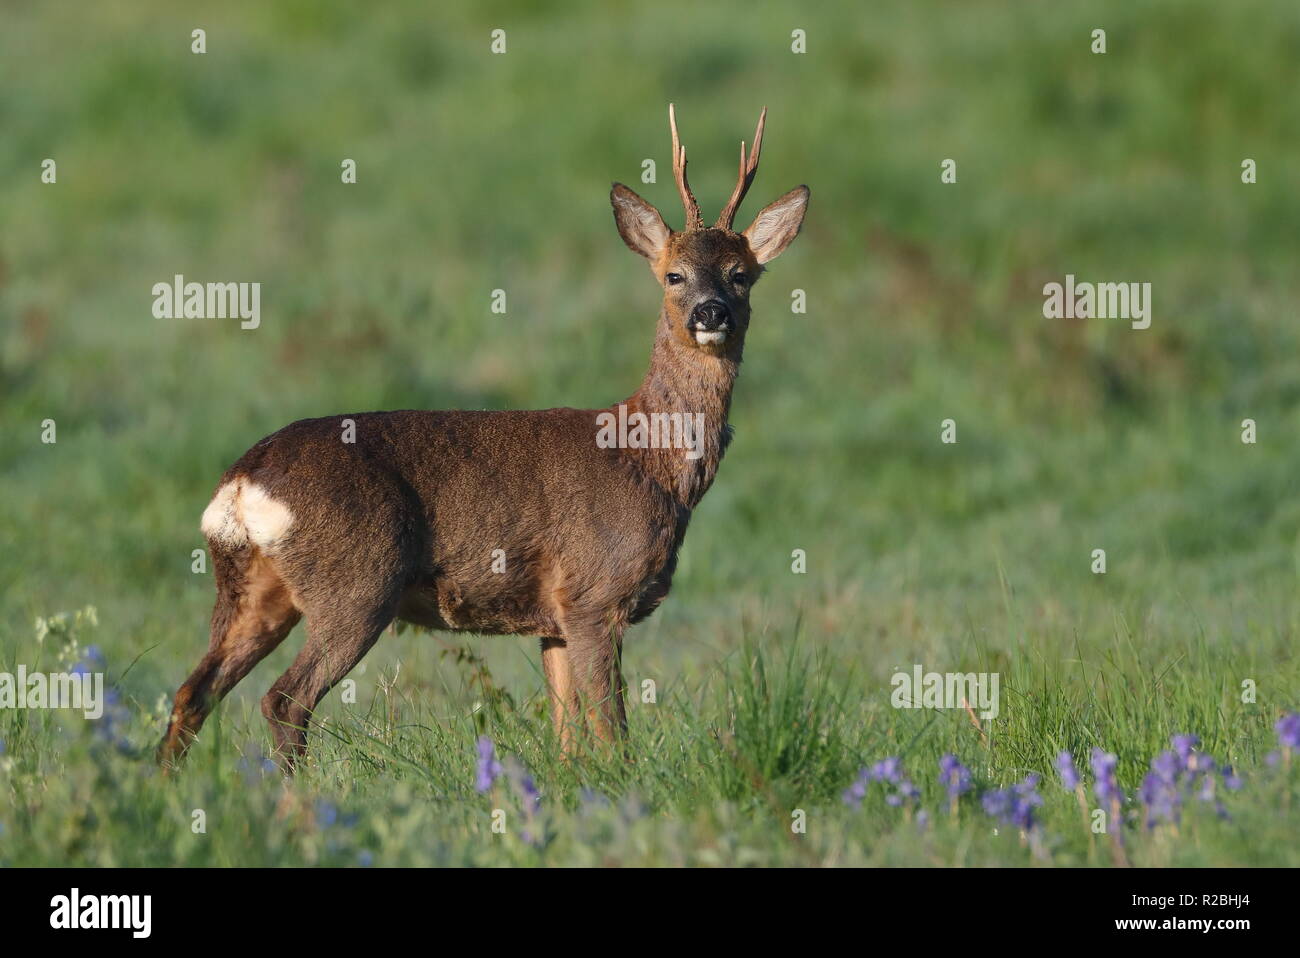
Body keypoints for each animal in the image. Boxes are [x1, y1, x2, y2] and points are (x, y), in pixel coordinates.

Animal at [157, 105, 809, 771]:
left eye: (741, 275)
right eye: (674, 275)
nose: (711, 312)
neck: (649, 458)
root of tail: (242, 480)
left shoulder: (553, 618)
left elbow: (568, 740)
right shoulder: (595, 594)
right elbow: (612, 733)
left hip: (253, 589)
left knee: (192, 691)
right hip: (356, 584)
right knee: (284, 699)